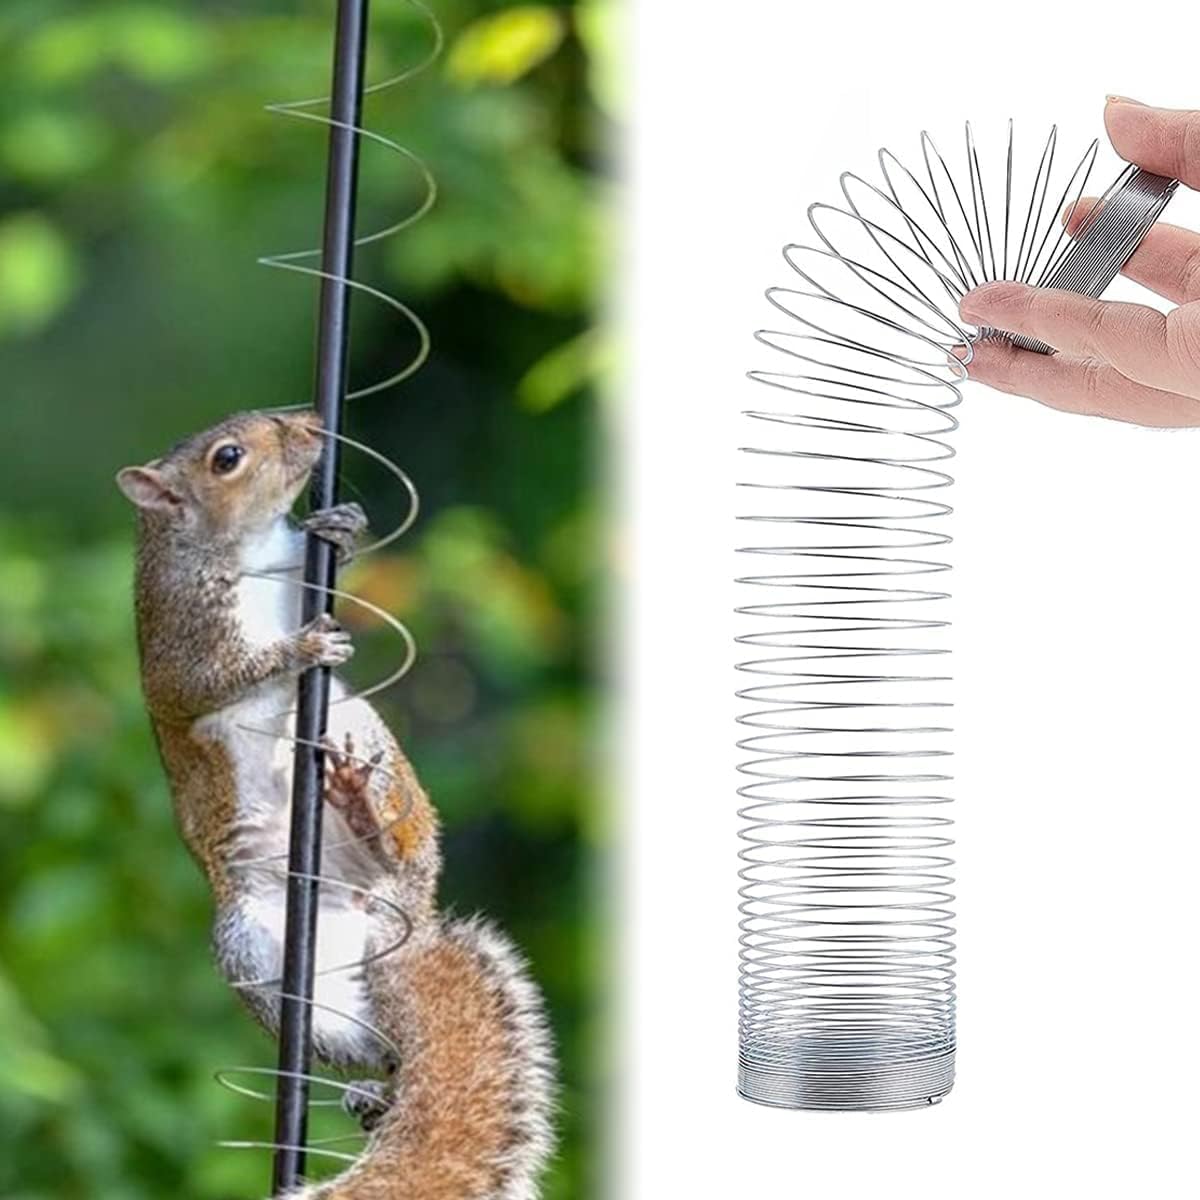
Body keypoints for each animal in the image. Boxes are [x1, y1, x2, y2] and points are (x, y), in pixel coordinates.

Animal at [115, 408, 556, 1200]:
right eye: (227, 457)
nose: (311, 423)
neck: (248, 546)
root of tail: (396, 914)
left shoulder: (297, 569)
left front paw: (346, 529)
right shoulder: (181, 637)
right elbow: (213, 680)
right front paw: (295, 650)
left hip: (357, 732)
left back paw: (360, 810)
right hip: (259, 951)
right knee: (369, 1044)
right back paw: (377, 1093)